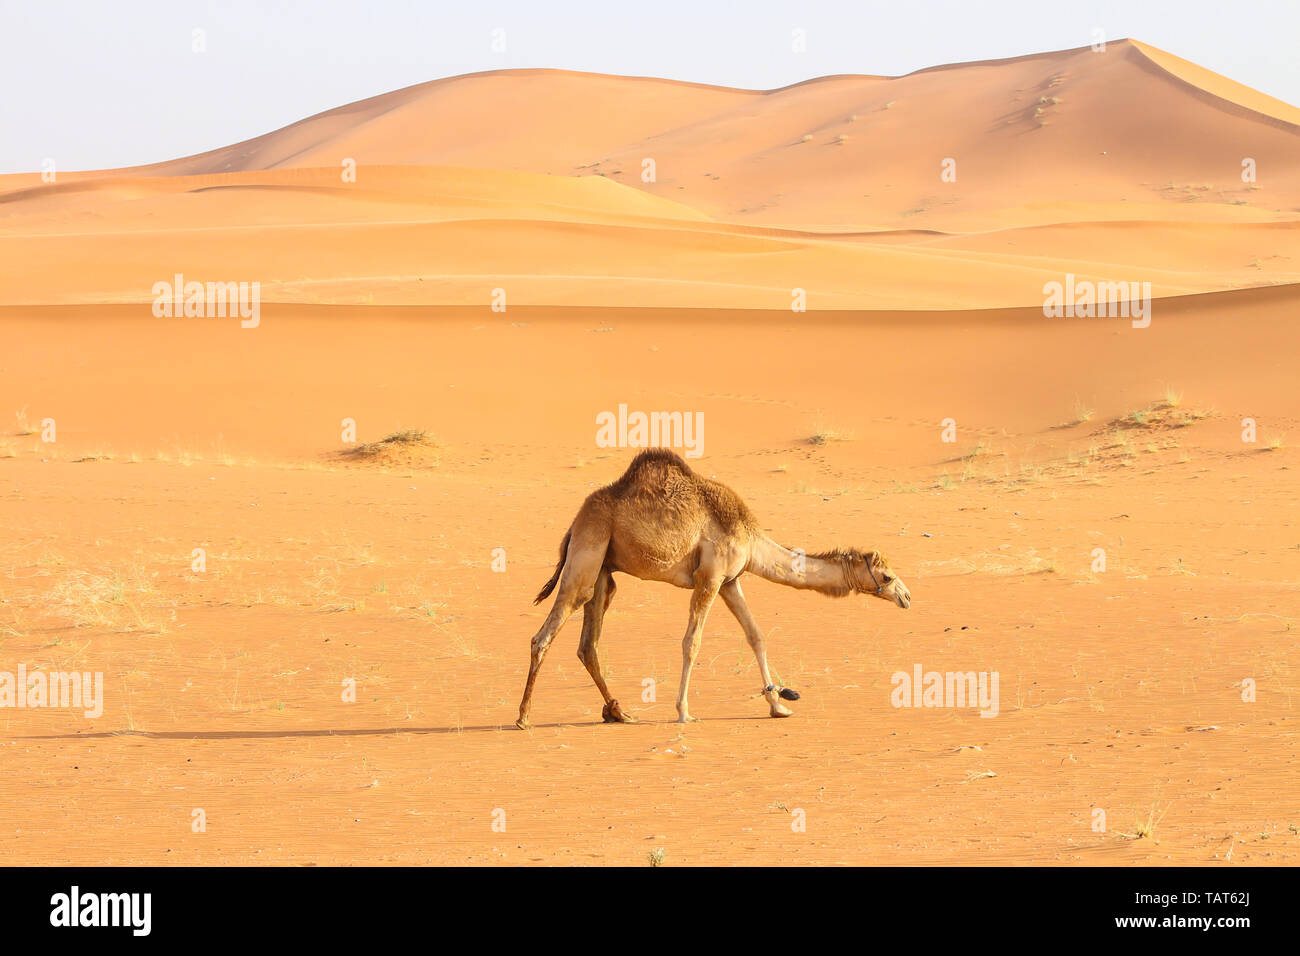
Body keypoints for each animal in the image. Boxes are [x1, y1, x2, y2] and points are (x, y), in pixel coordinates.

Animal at [515, 449, 911, 729]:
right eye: (887, 576)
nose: (907, 597)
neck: (751, 537)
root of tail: (574, 523)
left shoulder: (730, 581)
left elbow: (756, 635)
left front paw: (778, 705)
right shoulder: (711, 576)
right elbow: (692, 643)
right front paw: (684, 712)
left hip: (603, 570)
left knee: (589, 643)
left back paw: (619, 713)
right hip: (589, 550)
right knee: (545, 634)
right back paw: (524, 717)